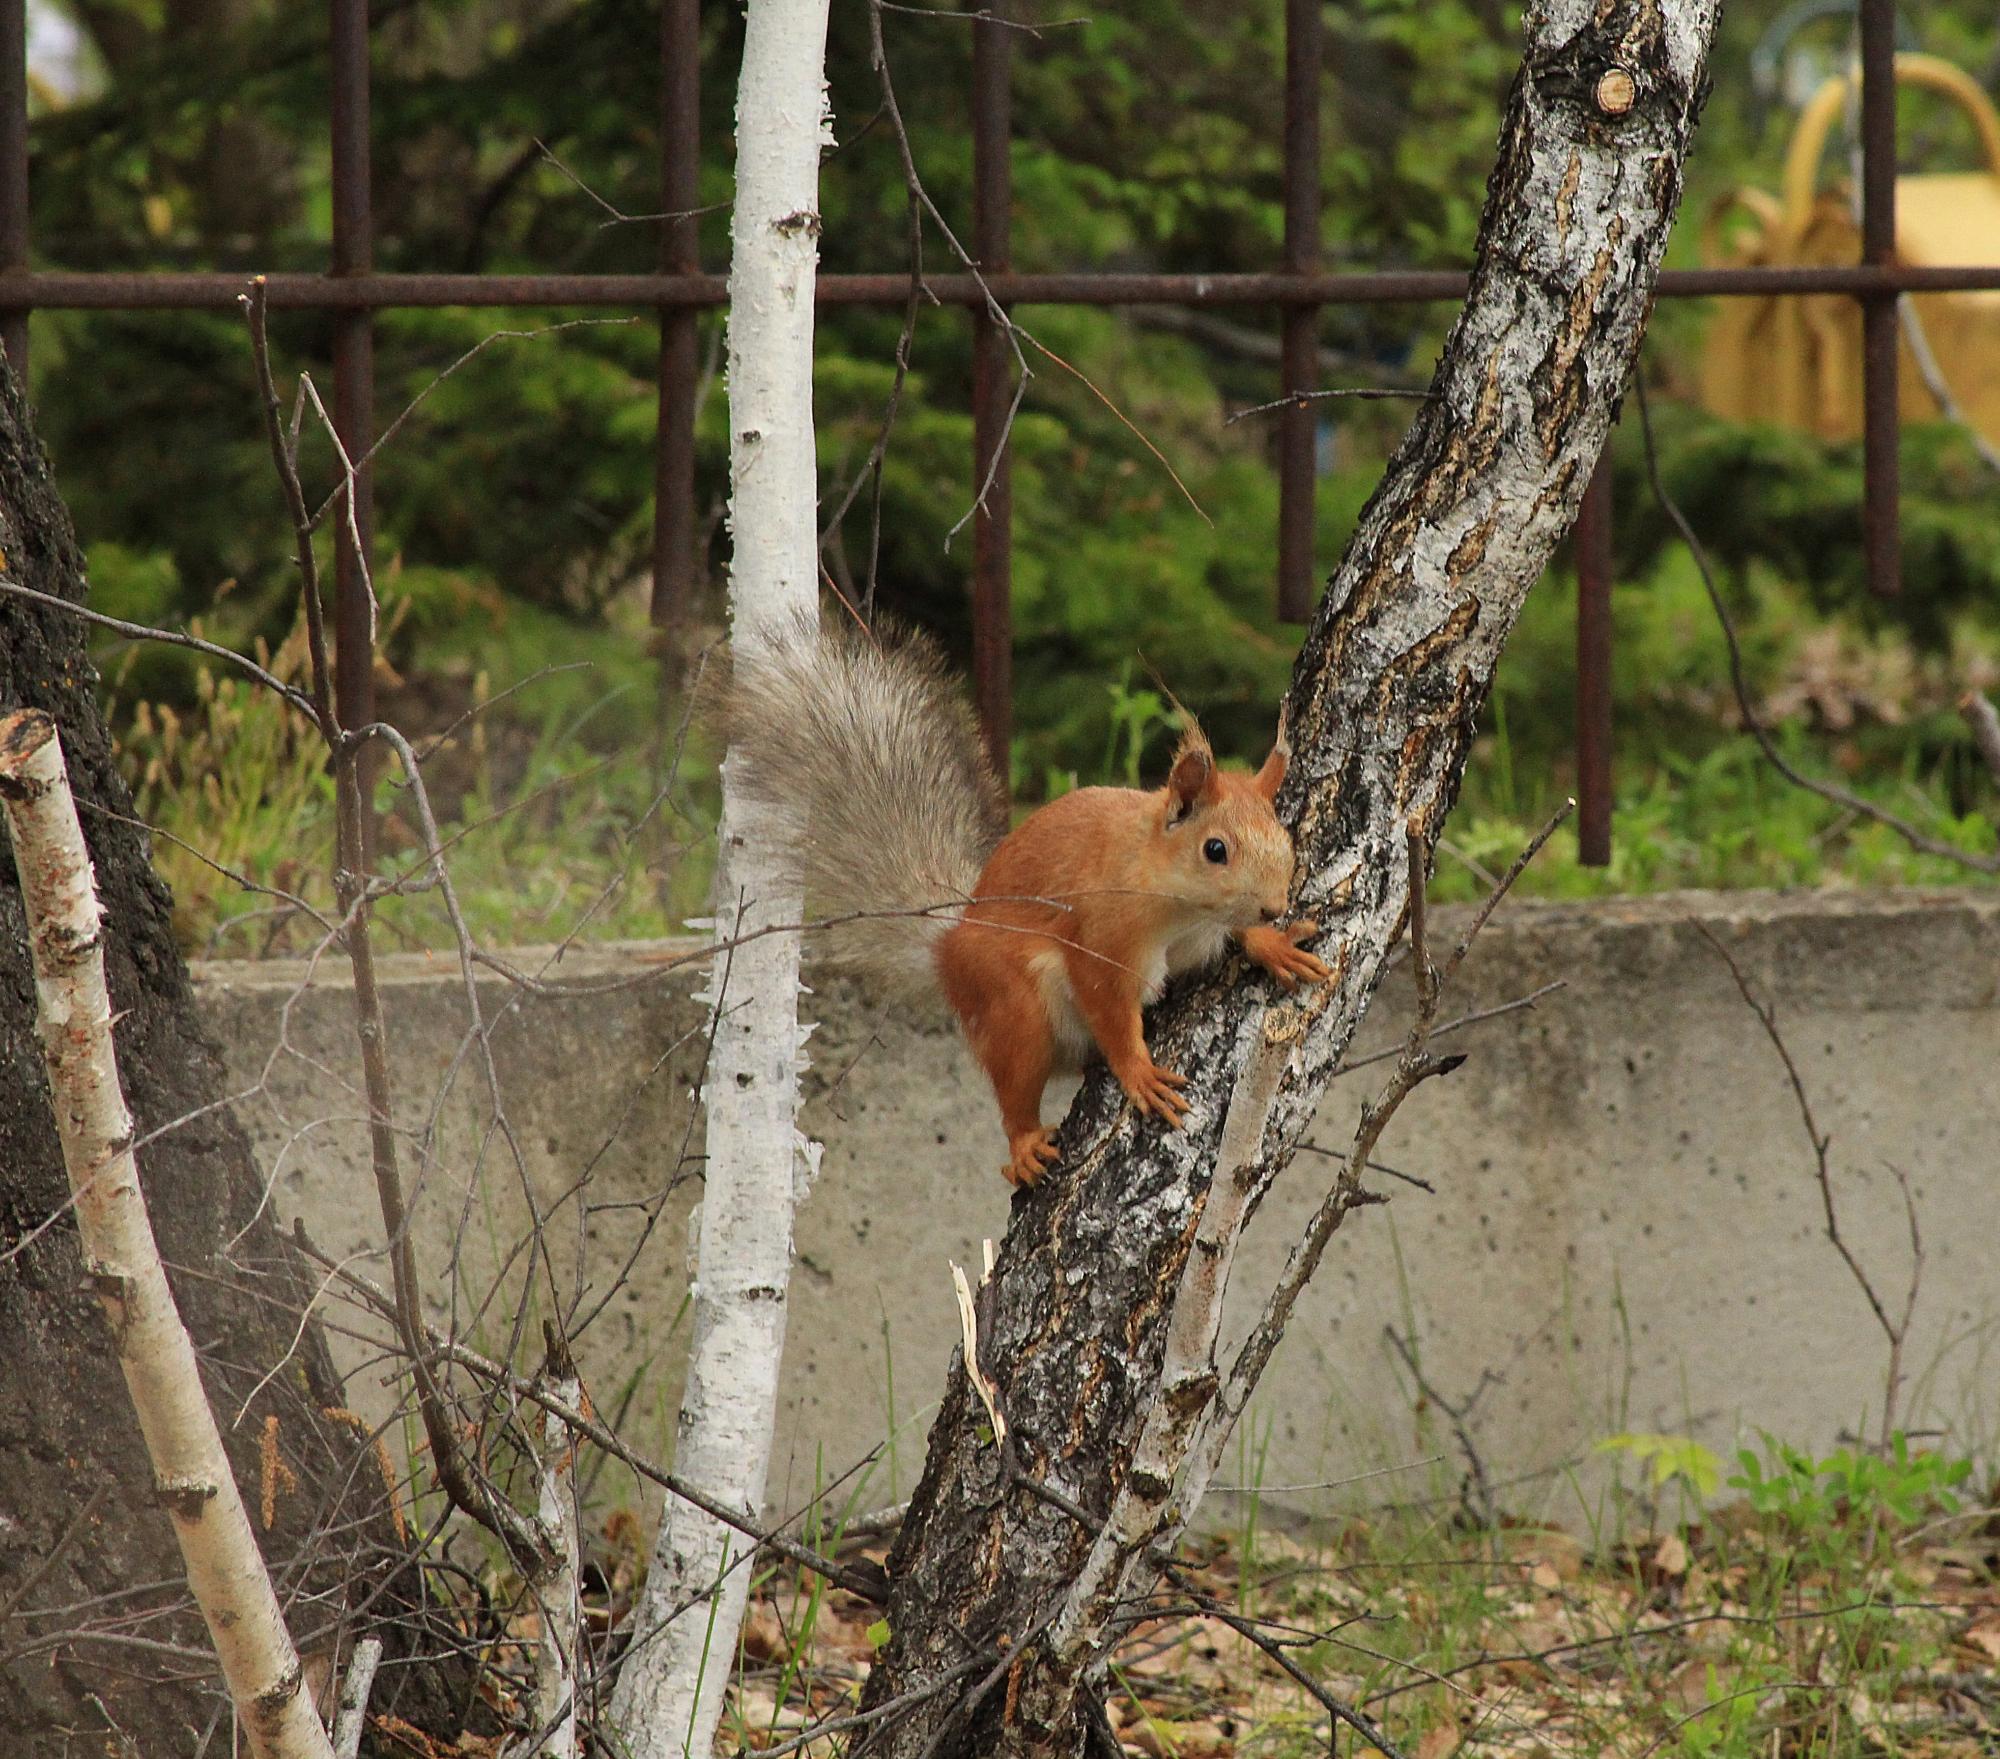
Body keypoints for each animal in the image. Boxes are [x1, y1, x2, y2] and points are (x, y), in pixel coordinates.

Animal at [717, 618, 1331, 1188]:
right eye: (1215, 849)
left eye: (1285, 840)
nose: (1274, 906)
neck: (1179, 910)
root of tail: (947, 954)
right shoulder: (1102, 938)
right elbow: (1110, 1009)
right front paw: (1139, 1073)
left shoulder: (1205, 930)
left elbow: (1238, 935)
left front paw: (1275, 943)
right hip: (1013, 1006)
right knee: (1016, 1083)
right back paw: (1025, 1146)